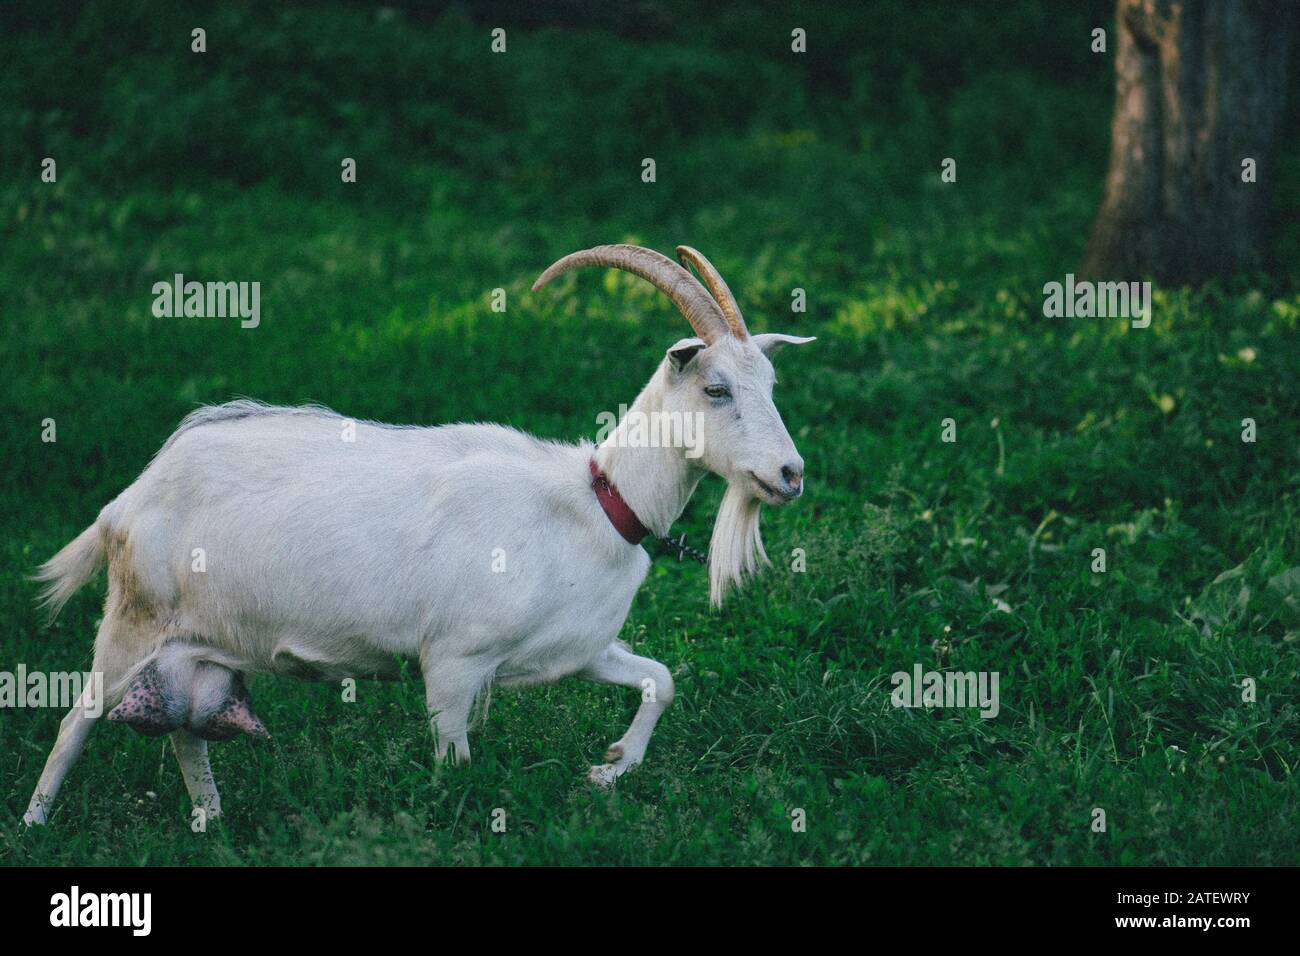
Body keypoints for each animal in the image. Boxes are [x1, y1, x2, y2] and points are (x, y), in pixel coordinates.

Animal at [23, 244, 813, 824]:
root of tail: (129, 498)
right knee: (75, 722)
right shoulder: (454, 662)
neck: (595, 503)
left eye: (773, 386)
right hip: (131, 623)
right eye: (715, 388)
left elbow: (661, 680)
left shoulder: (575, 647)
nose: (790, 473)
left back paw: (211, 822)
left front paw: (611, 768)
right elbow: (454, 763)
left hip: (198, 649)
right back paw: (35, 825)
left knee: (186, 731)